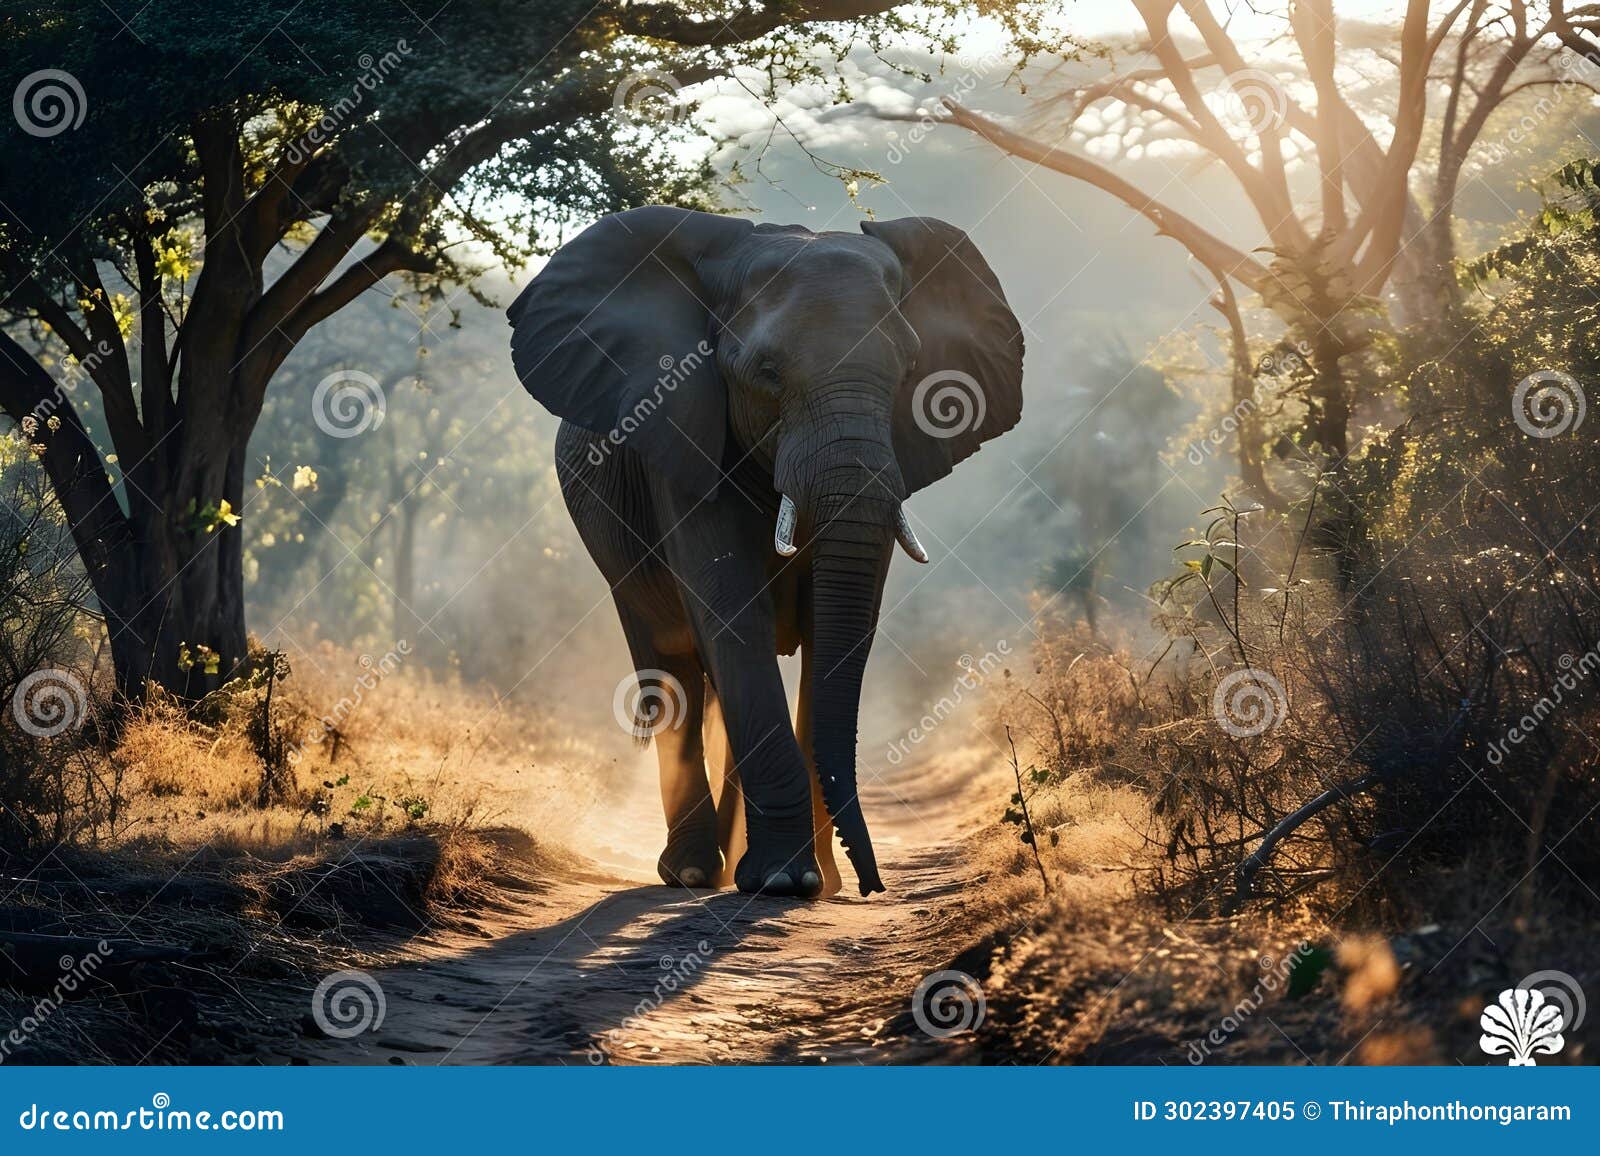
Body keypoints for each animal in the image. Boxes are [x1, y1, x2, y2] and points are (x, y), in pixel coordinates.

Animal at [508, 206, 1023, 898]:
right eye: (768, 374)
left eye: (908, 368)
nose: (873, 886)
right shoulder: (681, 434)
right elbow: (733, 616)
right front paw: (782, 880)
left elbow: (838, 629)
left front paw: (812, 882)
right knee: (674, 668)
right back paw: (694, 872)